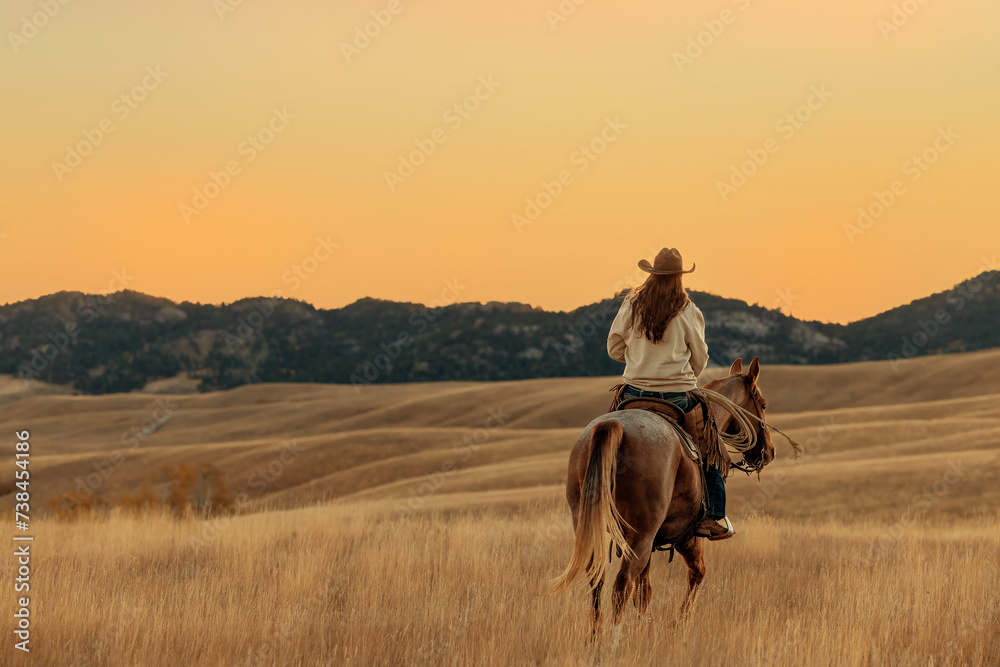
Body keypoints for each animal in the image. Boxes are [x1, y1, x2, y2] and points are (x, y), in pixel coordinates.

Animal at [553, 356, 777, 633]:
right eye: (763, 404)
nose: (769, 452)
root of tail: (614, 425)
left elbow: (644, 591)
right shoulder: (688, 536)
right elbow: (697, 573)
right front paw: (681, 621)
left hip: (591, 524)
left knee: (598, 579)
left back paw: (595, 634)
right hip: (642, 535)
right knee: (621, 584)